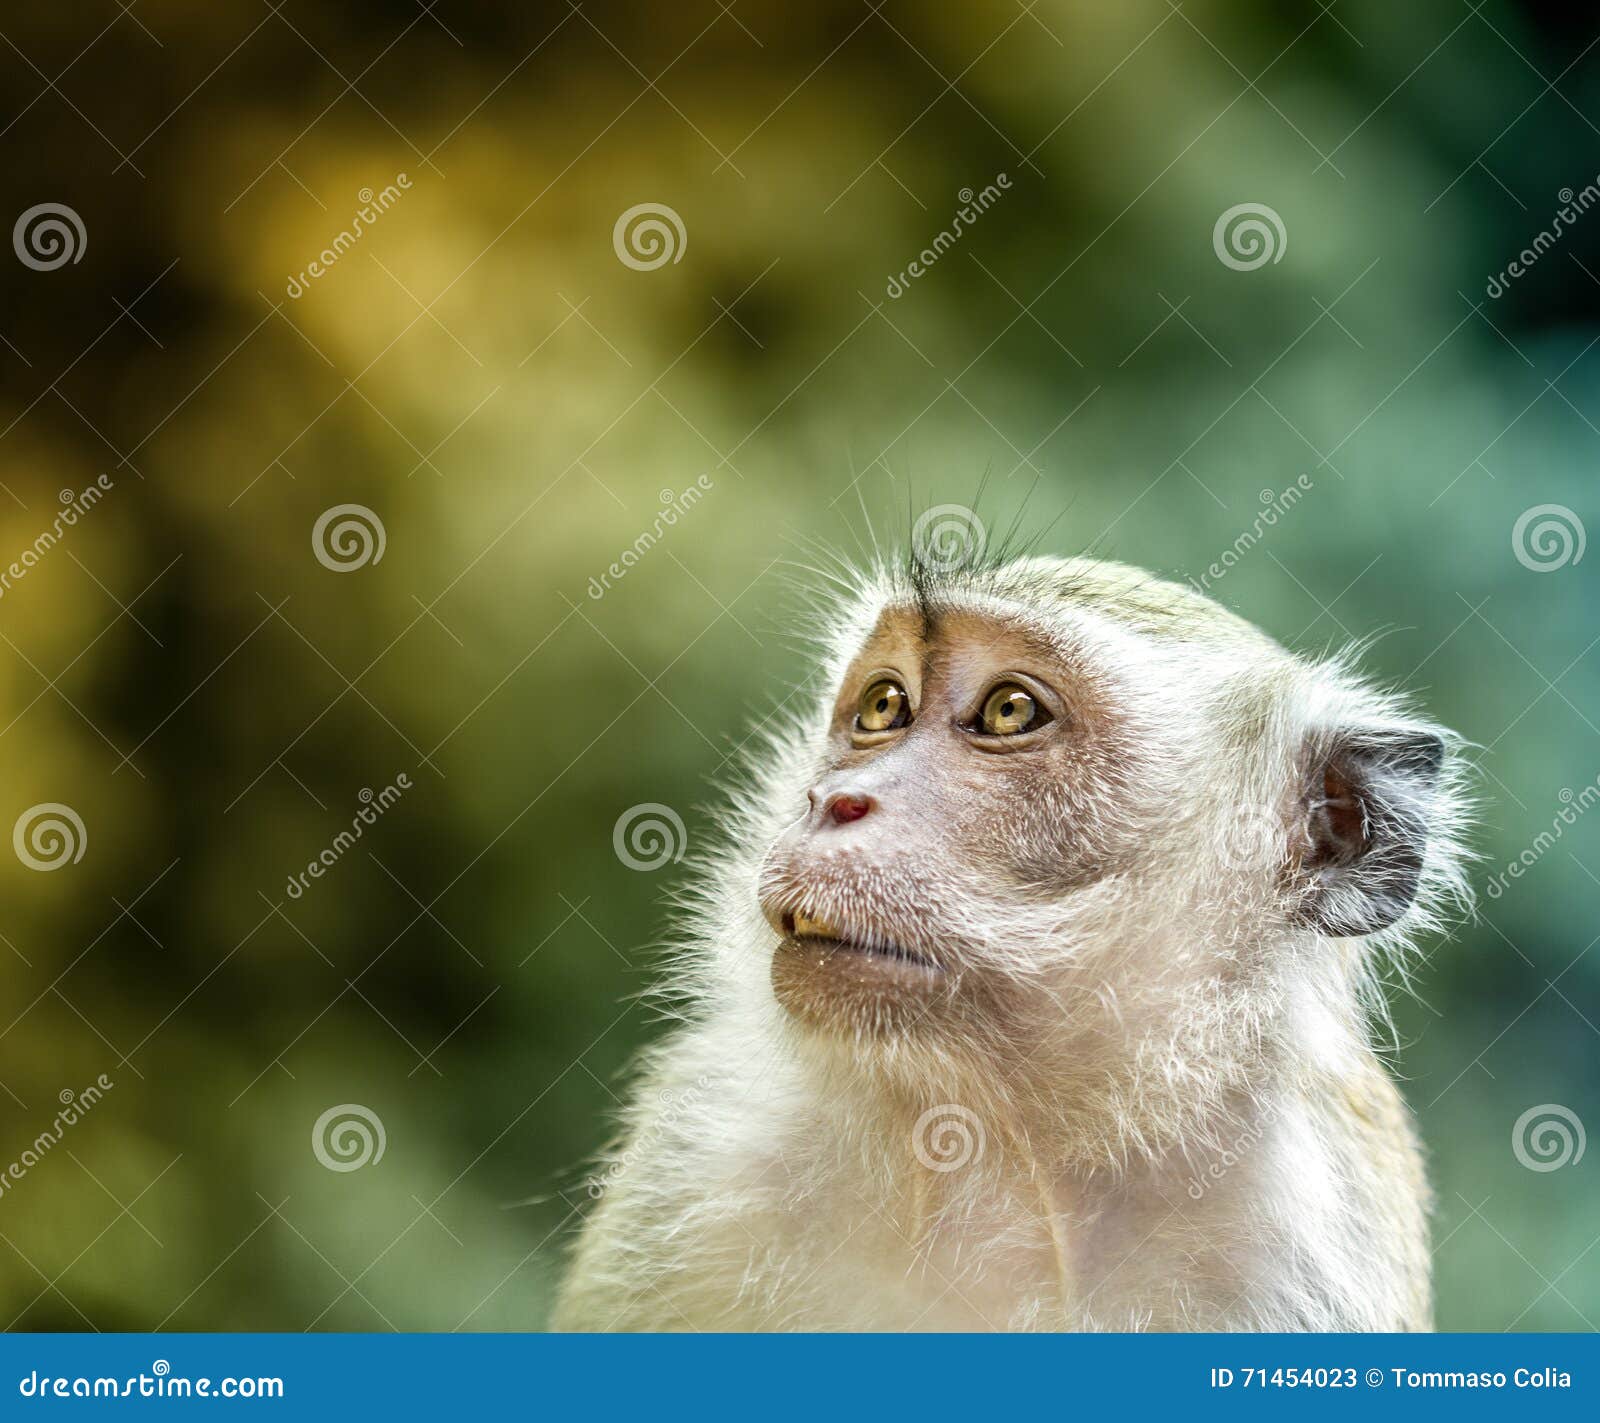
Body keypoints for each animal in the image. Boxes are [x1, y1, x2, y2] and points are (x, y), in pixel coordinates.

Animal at [552, 549, 1470, 1332]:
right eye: (884, 704)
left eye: (1009, 710)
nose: (835, 801)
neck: (997, 1154)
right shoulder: (698, 1156)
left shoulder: (1308, 1255)